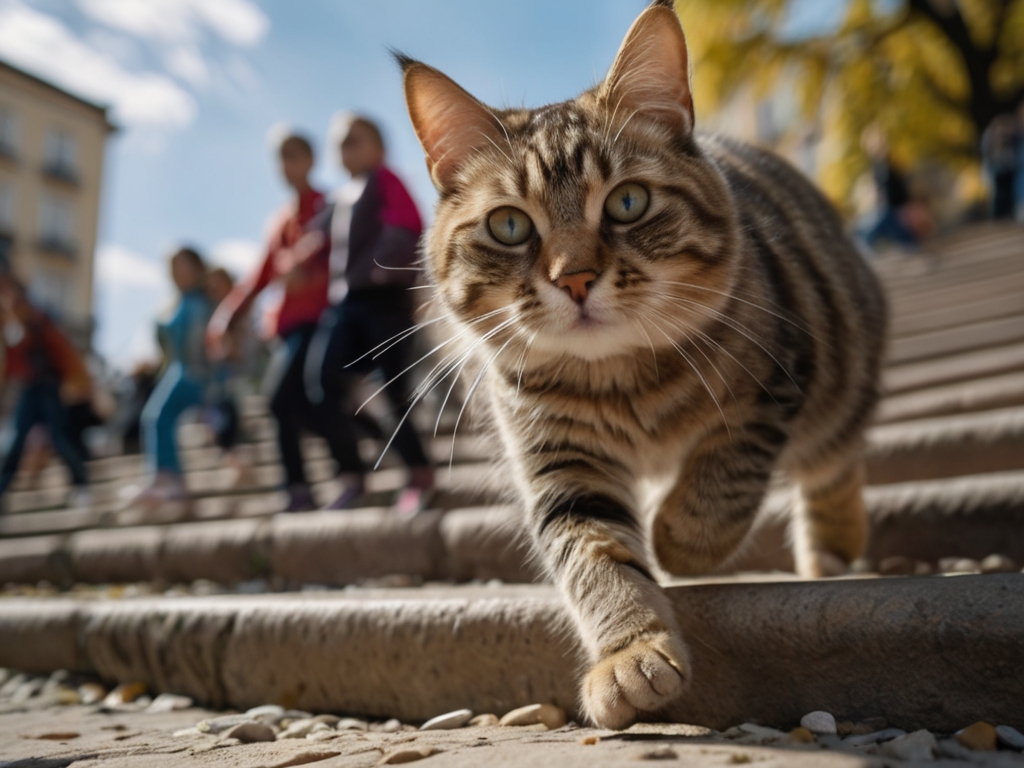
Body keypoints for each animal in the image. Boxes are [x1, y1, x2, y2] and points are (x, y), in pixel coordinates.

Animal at [395, 0, 884, 729]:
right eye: (510, 226)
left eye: (628, 203)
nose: (575, 278)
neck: (620, 380)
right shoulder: (562, 463)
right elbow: (598, 561)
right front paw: (633, 652)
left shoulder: (773, 387)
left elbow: (720, 484)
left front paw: (678, 540)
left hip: (837, 378)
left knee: (832, 460)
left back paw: (832, 546)